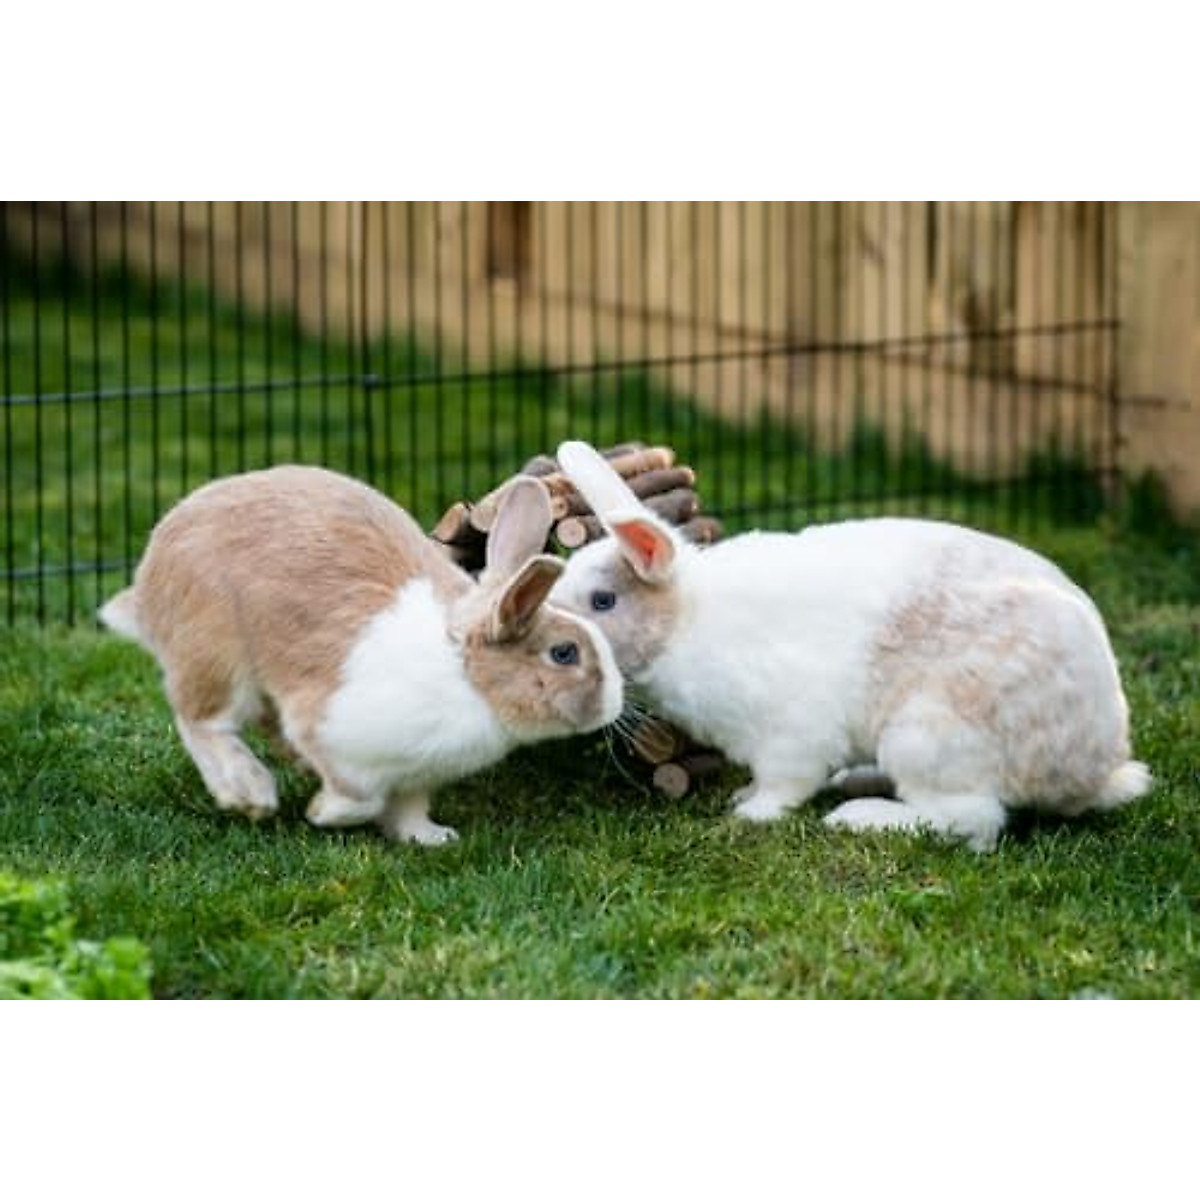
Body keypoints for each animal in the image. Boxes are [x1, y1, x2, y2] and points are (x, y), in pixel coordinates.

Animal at [100, 465, 622, 844]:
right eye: (563, 653)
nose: (615, 704)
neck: (465, 673)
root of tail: (150, 575)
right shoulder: (328, 731)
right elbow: (359, 798)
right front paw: (322, 813)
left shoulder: (415, 777)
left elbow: (408, 810)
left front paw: (431, 838)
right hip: (216, 654)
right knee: (201, 721)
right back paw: (249, 792)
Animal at [548, 440, 1150, 851]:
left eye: (603, 600)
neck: (687, 620)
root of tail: (1094, 768)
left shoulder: (791, 735)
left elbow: (783, 784)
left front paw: (749, 813)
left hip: (927, 735)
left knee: (972, 823)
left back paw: (860, 817)